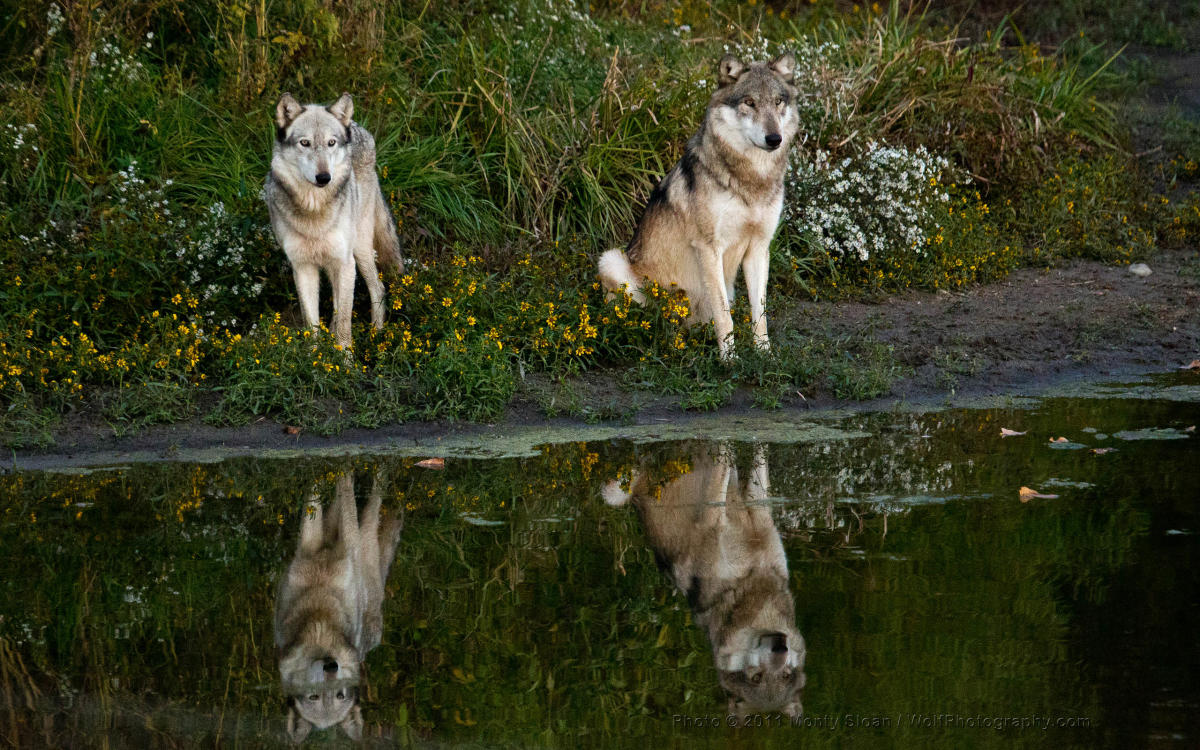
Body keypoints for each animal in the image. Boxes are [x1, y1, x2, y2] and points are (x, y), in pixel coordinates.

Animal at [265, 92, 403, 350]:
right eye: (305, 143)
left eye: (331, 143)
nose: (323, 177)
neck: (314, 209)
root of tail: (357, 127)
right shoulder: (302, 267)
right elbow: (311, 324)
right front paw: (316, 357)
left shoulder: (346, 263)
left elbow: (345, 323)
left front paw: (345, 357)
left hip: (359, 250)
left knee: (377, 289)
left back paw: (377, 336)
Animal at [275, 471, 403, 742]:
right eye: (314, 696)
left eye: (339, 695)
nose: (331, 666)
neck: (319, 620)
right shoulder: (308, 543)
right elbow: (314, 500)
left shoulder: (349, 545)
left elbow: (347, 499)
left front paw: (344, 471)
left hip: (367, 537)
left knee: (373, 505)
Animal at [598, 53, 799, 360]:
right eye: (749, 102)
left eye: (778, 101)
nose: (774, 139)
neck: (751, 179)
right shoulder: (708, 248)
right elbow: (724, 316)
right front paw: (730, 360)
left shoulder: (759, 249)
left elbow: (760, 314)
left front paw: (765, 355)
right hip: (612, 260)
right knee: (640, 322)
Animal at [603, 443, 805, 717]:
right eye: (756, 678)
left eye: (785, 675)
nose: (780, 646)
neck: (753, 590)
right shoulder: (710, 515)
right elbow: (720, 472)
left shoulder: (757, 505)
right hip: (618, 490)